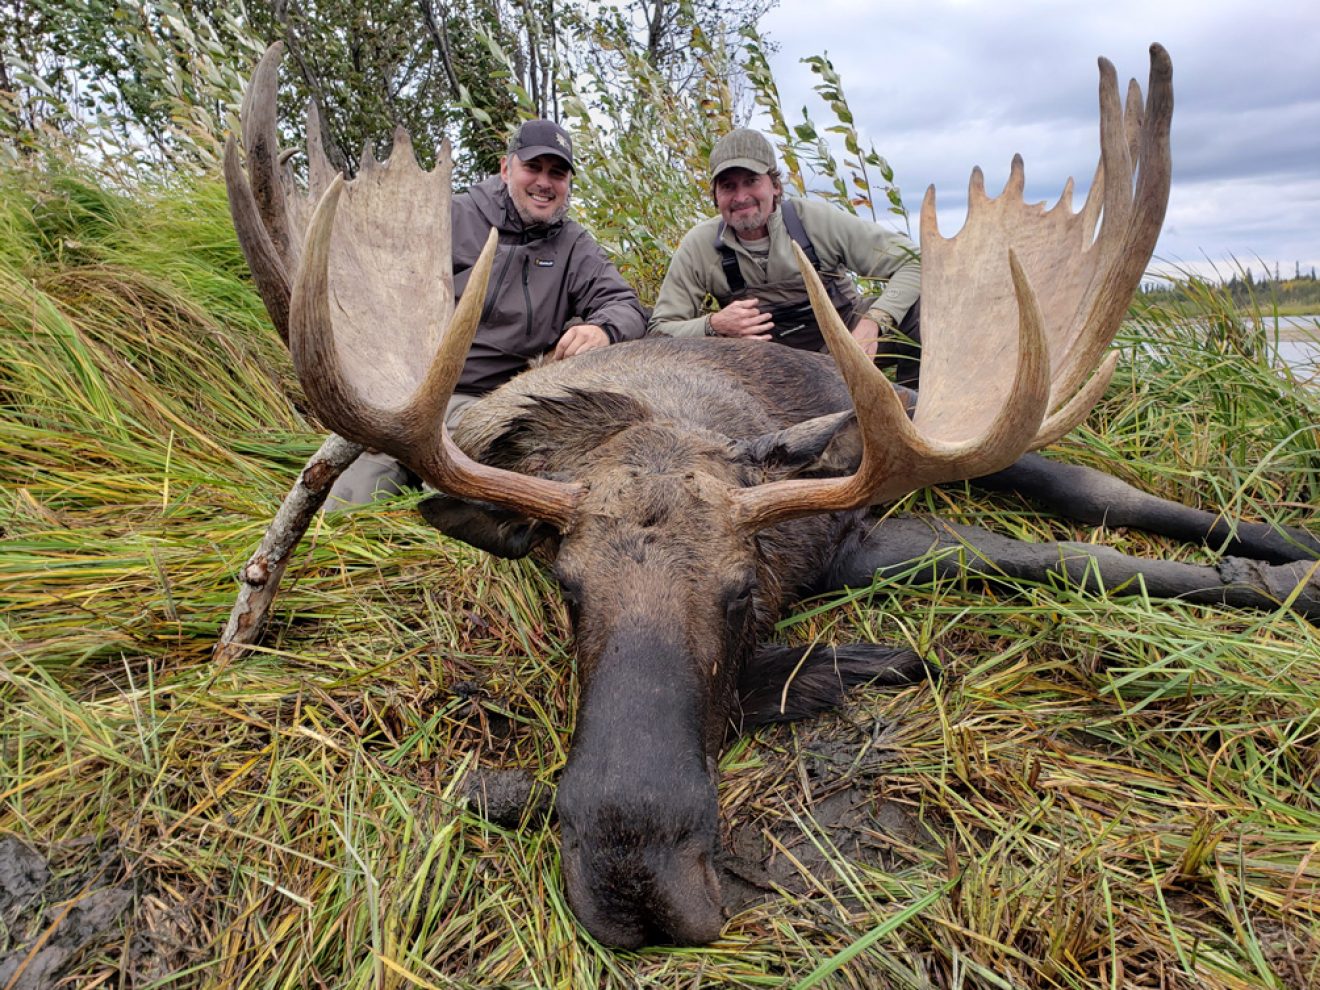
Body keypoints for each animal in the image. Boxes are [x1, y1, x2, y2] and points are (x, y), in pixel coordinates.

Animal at [221, 43, 1320, 947]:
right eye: (566, 589)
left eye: (739, 592)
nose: (635, 879)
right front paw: (849, 666)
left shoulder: (873, 481)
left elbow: (1082, 539)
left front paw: (1280, 572)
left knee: (1102, 493)